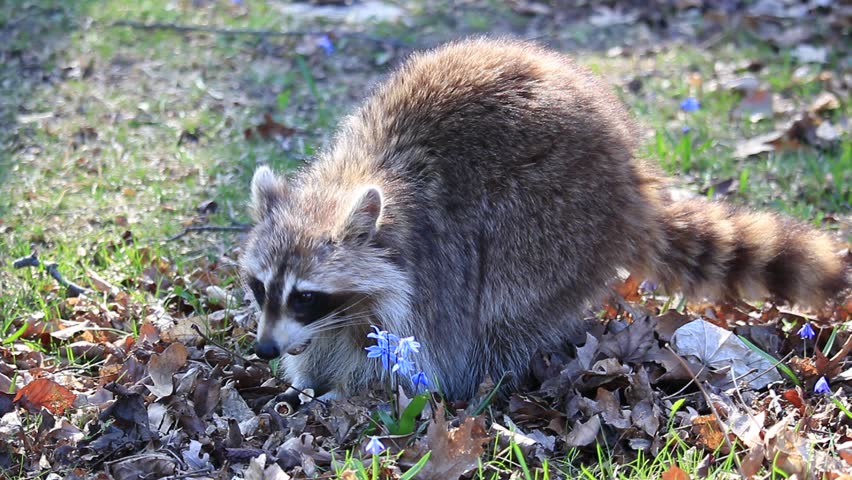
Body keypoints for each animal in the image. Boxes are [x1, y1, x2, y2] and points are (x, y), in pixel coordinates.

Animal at [240, 38, 849, 402]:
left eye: (306, 296)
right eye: (259, 288)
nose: (264, 350)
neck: (354, 179)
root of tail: (629, 180)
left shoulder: (433, 271)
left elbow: (419, 349)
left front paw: (359, 391)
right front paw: (308, 377)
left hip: (555, 220)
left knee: (505, 308)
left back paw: (489, 382)